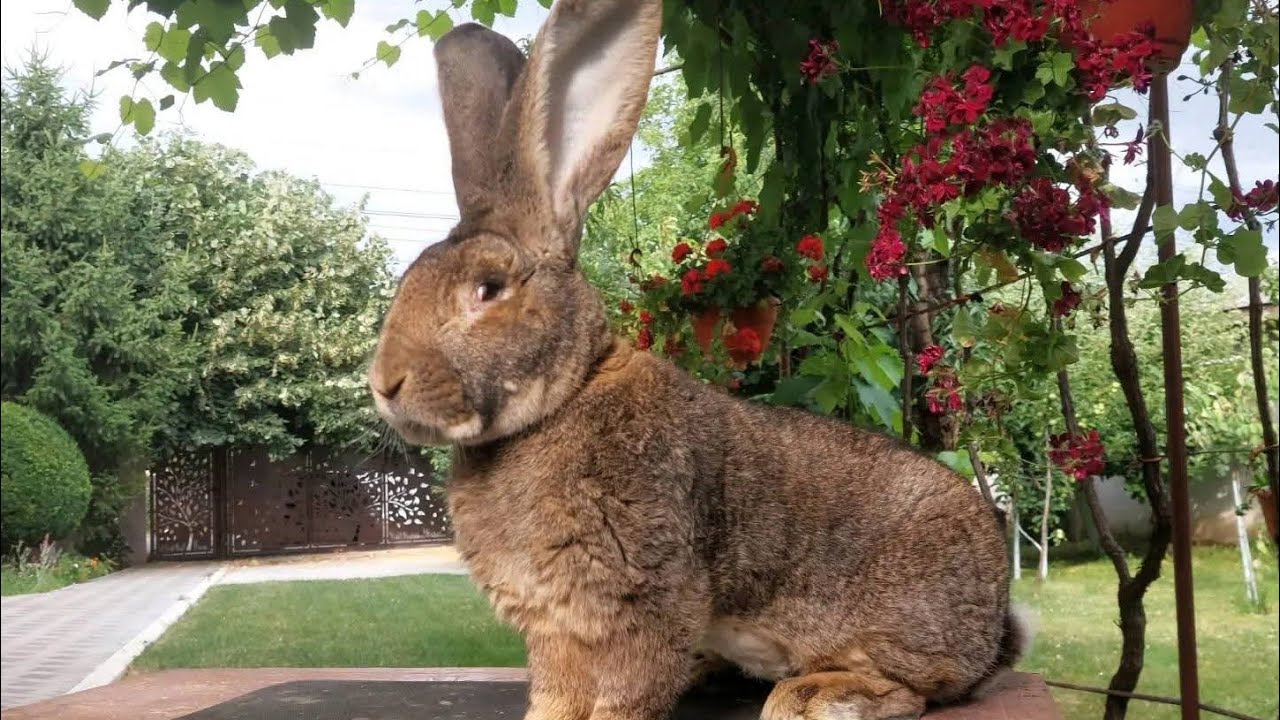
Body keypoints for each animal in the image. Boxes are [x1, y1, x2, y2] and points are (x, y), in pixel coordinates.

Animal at [367, 1, 1026, 718]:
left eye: (488, 290)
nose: (383, 384)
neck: (561, 401)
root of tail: (997, 620)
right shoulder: (555, 627)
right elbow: (558, 691)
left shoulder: (642, 594)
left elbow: (625, 688)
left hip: (900, 616)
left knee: (916, 687)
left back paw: (812, 695)